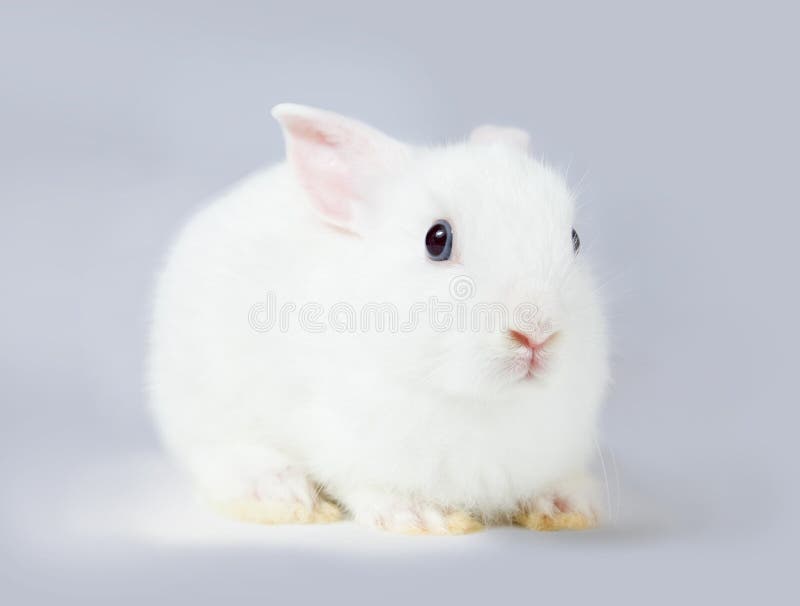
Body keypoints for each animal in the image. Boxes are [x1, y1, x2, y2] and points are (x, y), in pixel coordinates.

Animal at [147, 104, 610, 534]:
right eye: (437, 240)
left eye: (574, 239)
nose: (537, 332)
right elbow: (370, 485)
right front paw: (423, 518)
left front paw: (566, 508)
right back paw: (283, 495)